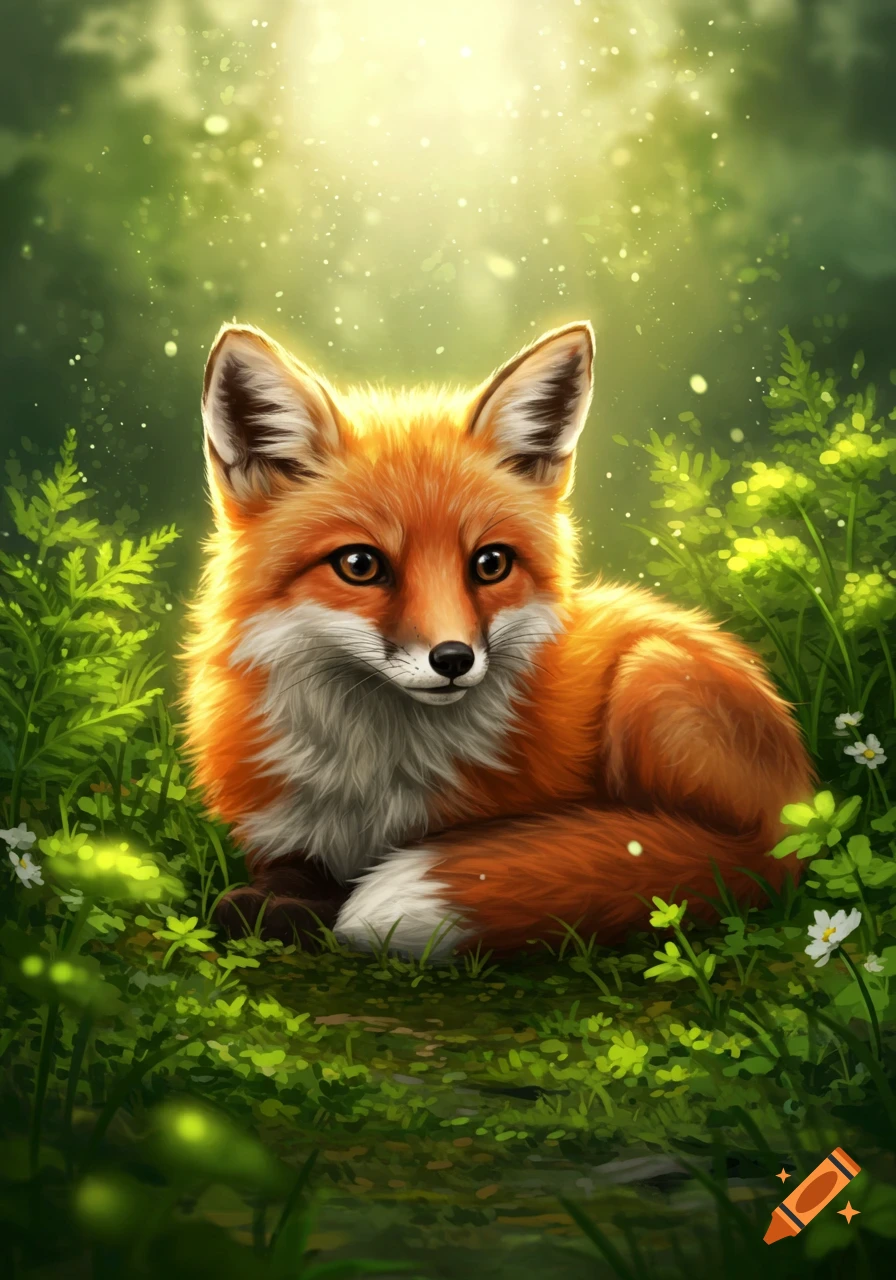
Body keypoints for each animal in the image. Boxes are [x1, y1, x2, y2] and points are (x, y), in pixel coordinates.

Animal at [184, 319, 814, 958]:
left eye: (491, 564)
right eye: (359, 565)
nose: (453, 659)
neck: (370, 779)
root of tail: (797, 814)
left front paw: (311, 912)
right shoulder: (282, 832)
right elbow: (274, 882)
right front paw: (278, 903)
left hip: (653, 678)